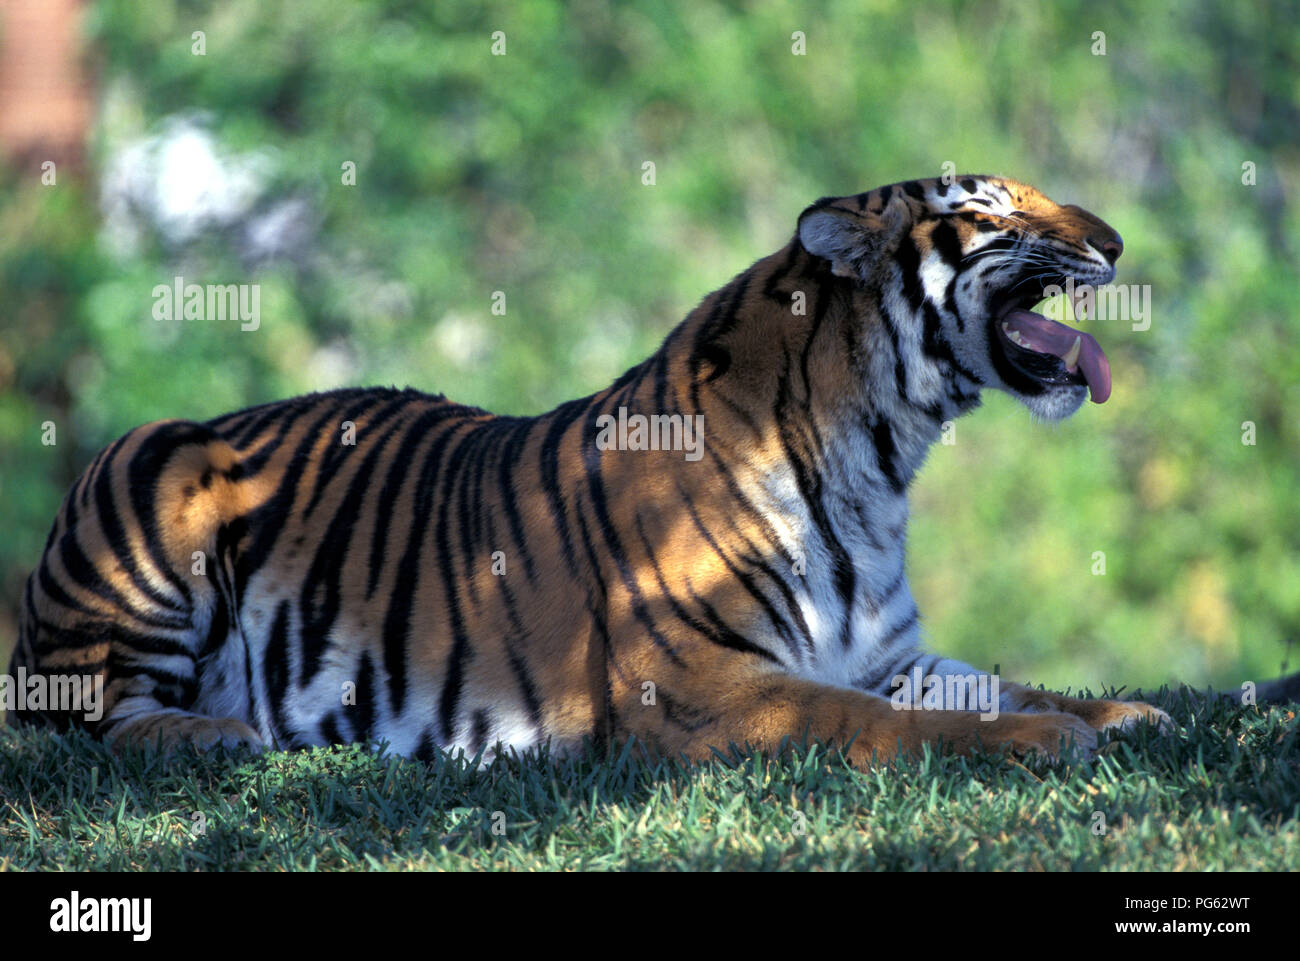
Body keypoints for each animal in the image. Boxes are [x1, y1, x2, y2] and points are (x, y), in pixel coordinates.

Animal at [14, 173, 1240, 767]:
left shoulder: (893, 655)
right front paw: (1047, 742)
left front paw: (1126, 711)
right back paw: (221, 733)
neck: (884, 455)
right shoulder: (706, 687)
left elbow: (1008, 679)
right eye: (990, 207)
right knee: (91, 718)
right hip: (158, 471)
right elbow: (902, 727)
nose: (1117, 243)